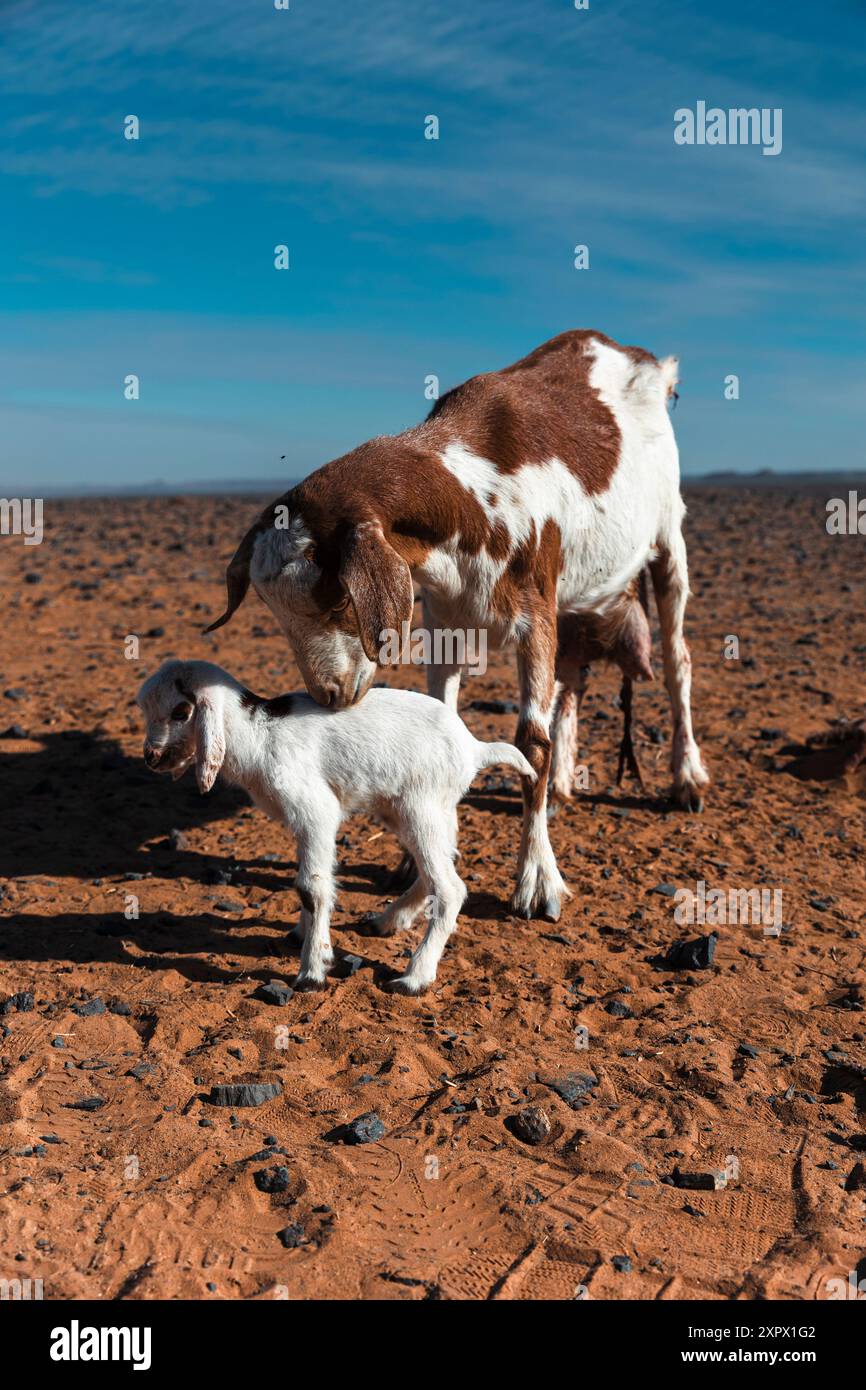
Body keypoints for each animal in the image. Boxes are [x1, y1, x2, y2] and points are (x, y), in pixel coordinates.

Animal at [137, 659, 534, 995]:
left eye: (181, 711)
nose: (151, 758)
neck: (258, 734)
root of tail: (475, 749)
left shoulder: (316, 810)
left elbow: (311, 889)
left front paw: (312, 972)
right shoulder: (306, 823)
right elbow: (312, 880)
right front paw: (303, 934)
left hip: (421, 806)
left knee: (450, 888)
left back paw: (414, 978)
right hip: (417, 809)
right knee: (436, 867)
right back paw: (387, 921)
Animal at [206, 329, 709, 922]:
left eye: (337, 599)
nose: (329, 694)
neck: (474, 495)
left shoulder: (535, 613)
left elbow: (531, 743)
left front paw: (537, 878)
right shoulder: (445, 615)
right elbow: (438, 717)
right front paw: (413, 861)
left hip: (667, 540)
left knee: (677, 662)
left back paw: (686, 777)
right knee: (573, 677)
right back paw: (565, 779)